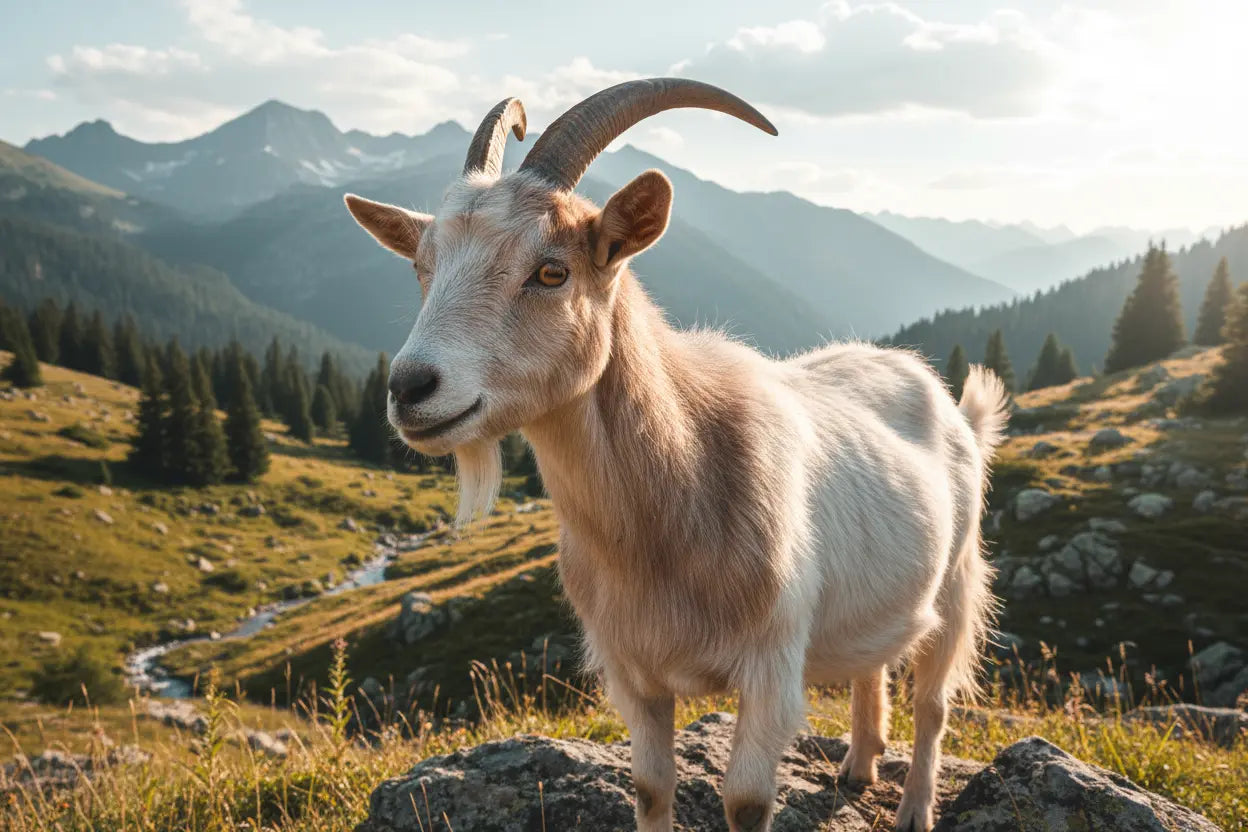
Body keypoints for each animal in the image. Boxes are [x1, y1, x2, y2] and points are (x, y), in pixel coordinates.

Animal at [344, 78, 1009, 832]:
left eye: (552, 271)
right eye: (422, 269)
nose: (409, 388)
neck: (674, 504)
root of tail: (942, 396)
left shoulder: (772, 668)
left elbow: (745, 802)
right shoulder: (632, 675)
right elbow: (651, 787)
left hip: (958, 577)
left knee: (934, 702)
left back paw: (914, 806)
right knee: (875, 660)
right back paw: (859, 765)